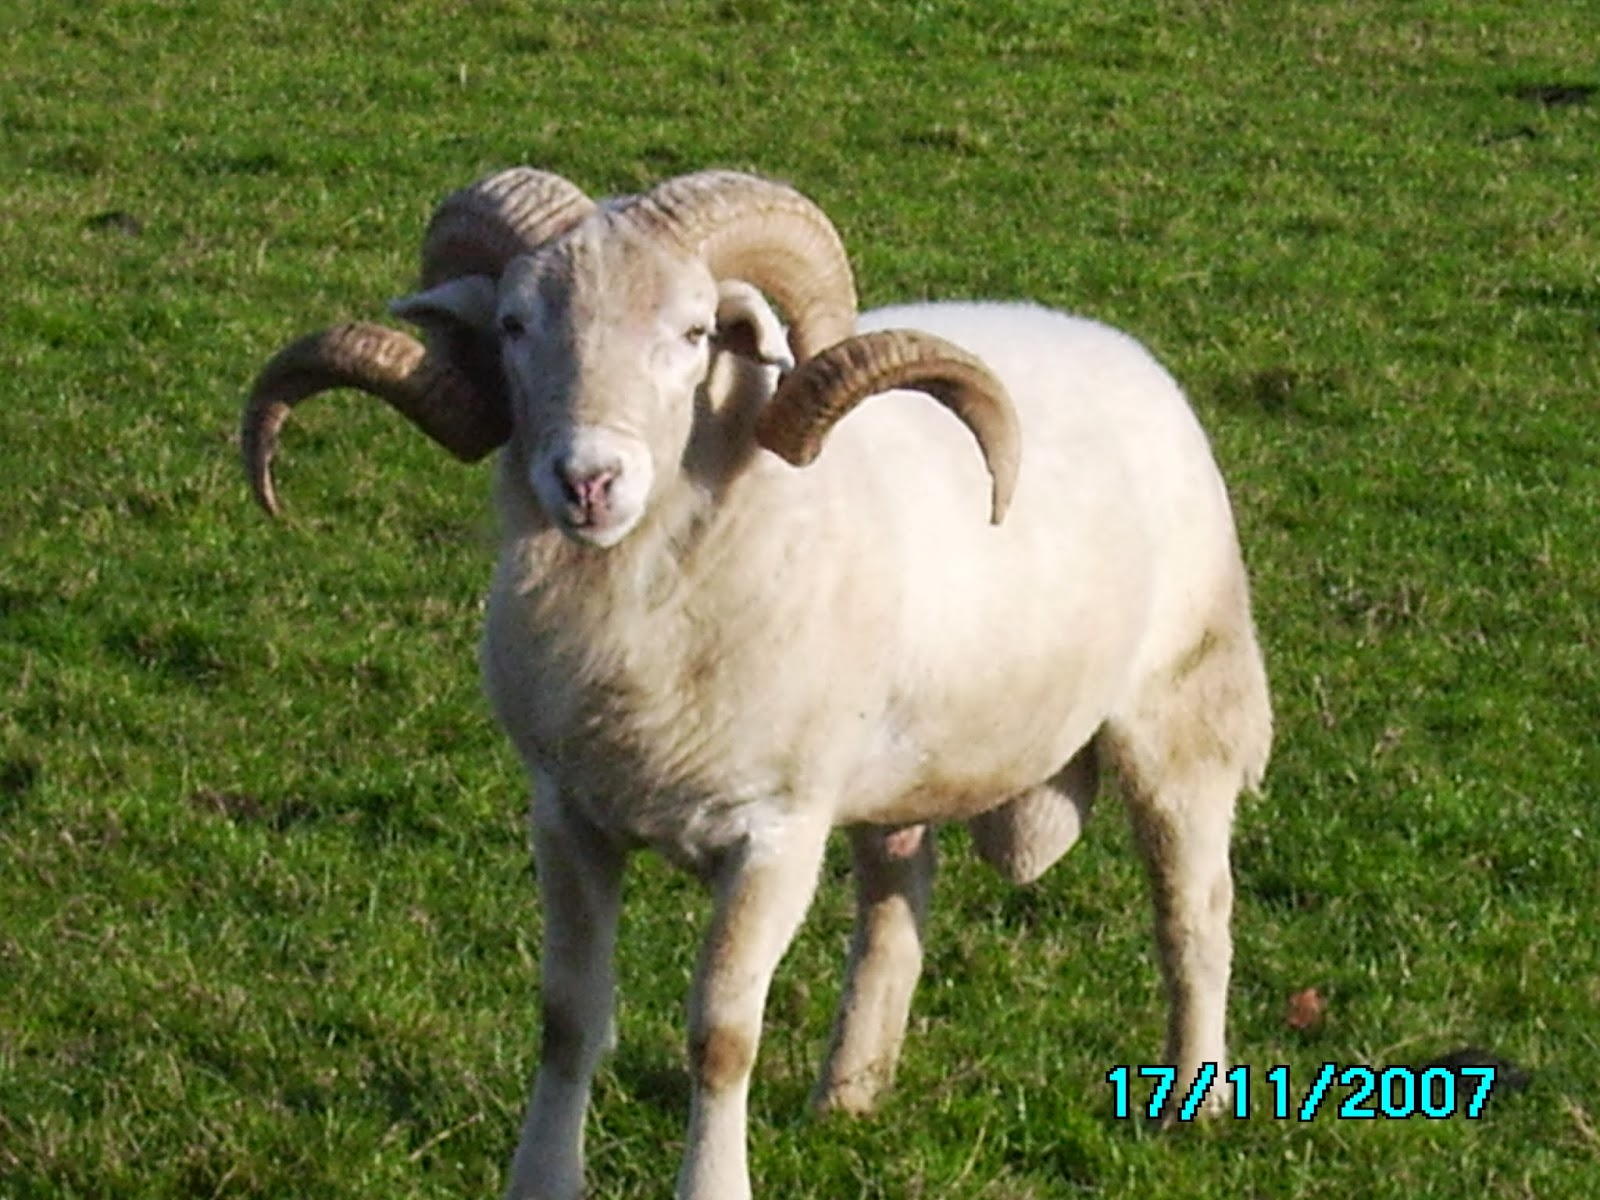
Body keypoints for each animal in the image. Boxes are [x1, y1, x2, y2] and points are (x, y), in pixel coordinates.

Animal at [241, 167, 1272, 1200]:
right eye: (513, 324)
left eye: (697, 332)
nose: (587, 481)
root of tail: (1109, 342)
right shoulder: (567, 814)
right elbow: (567, 1017)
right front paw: (543, 1179)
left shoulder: (775, 833)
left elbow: (722, 1036)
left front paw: (712, 1182)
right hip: (899, 772)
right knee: (895, 911)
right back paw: (850, 1094)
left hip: (1182, 710)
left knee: (1194, 914)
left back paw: (1191, 1104)